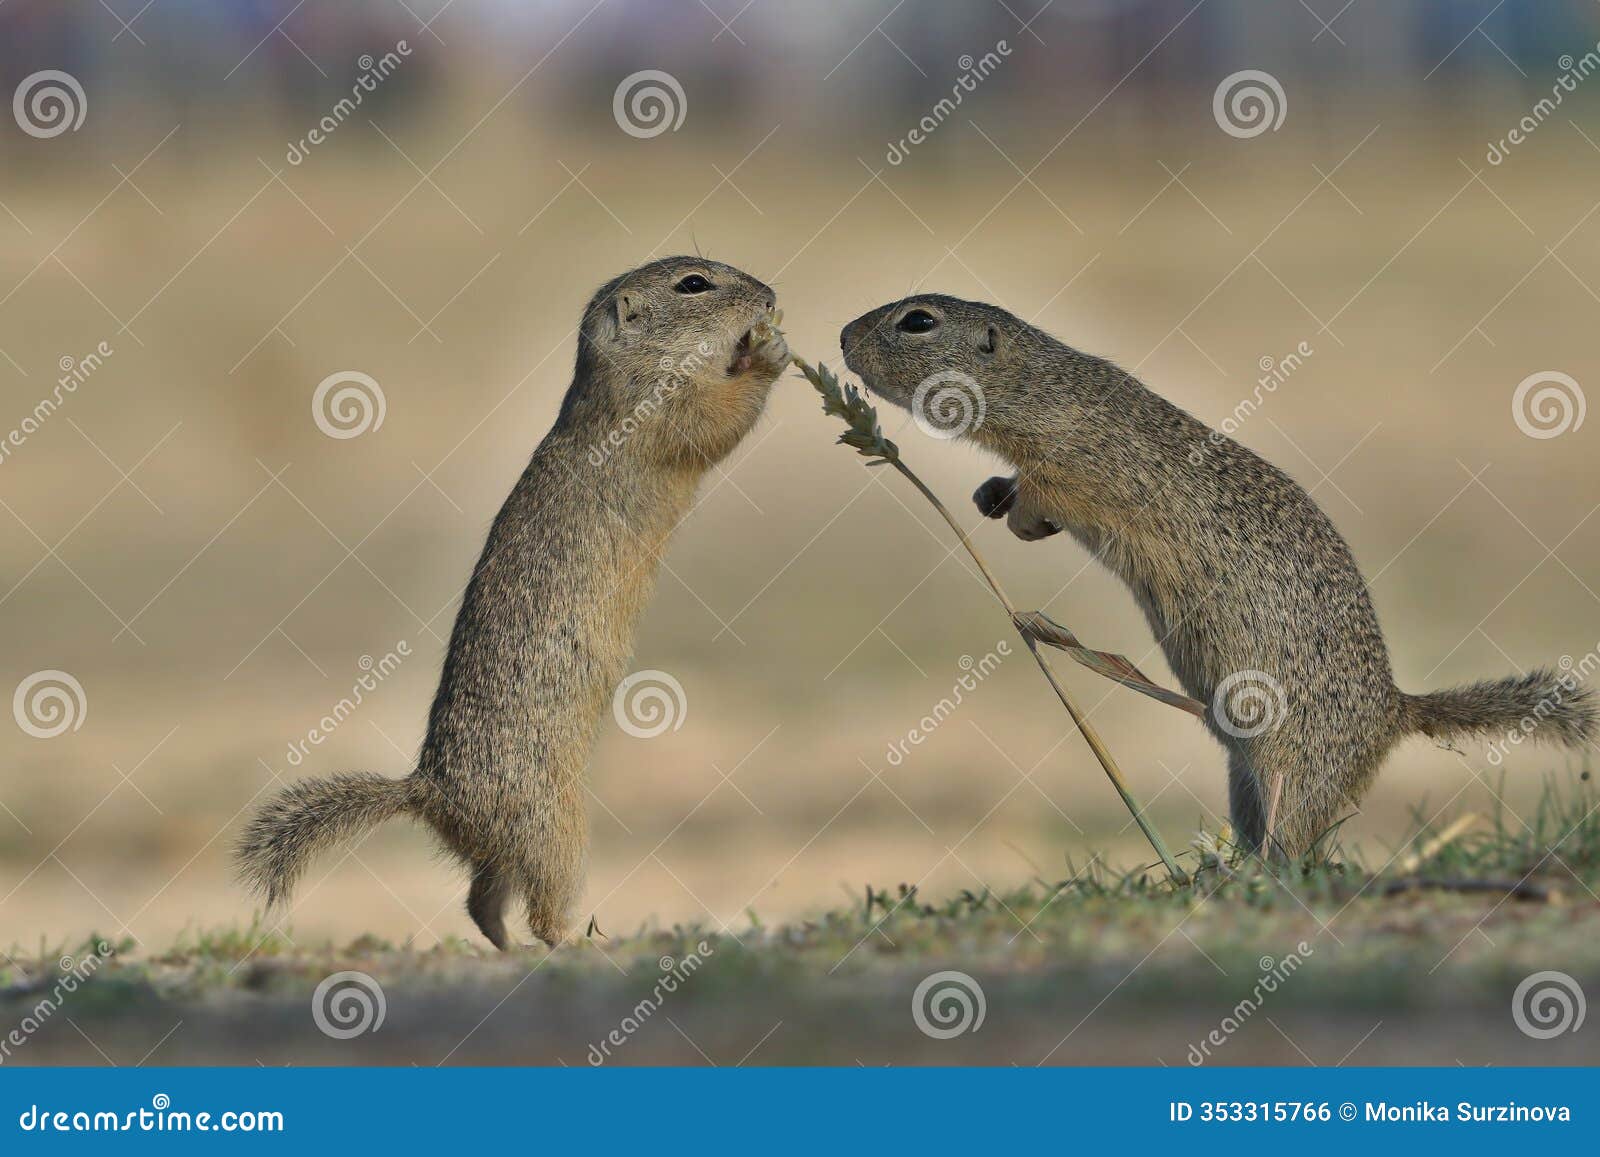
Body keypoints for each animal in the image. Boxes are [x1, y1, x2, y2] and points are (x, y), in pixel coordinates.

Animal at [237, 257, 786, 948]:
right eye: (694, 284)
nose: (770, 295)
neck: (618, 377)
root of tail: (431, 793)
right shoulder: (667, 412)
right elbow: (721, 418)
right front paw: (768, 352)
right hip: (555, 832)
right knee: (539, 904)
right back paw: (572, 942)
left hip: (505, 851)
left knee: (480, 901)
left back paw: (507, 949)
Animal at [840, 295, 1596, 858]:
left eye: (918, 321)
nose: (844, 333)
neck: (1042, 388)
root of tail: (1394, 712)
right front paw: (989, 497)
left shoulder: (1081, 469)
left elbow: (1051, 492)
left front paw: (1019, 513)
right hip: (1242, 776)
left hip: (1295, 765)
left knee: (1298, 841)